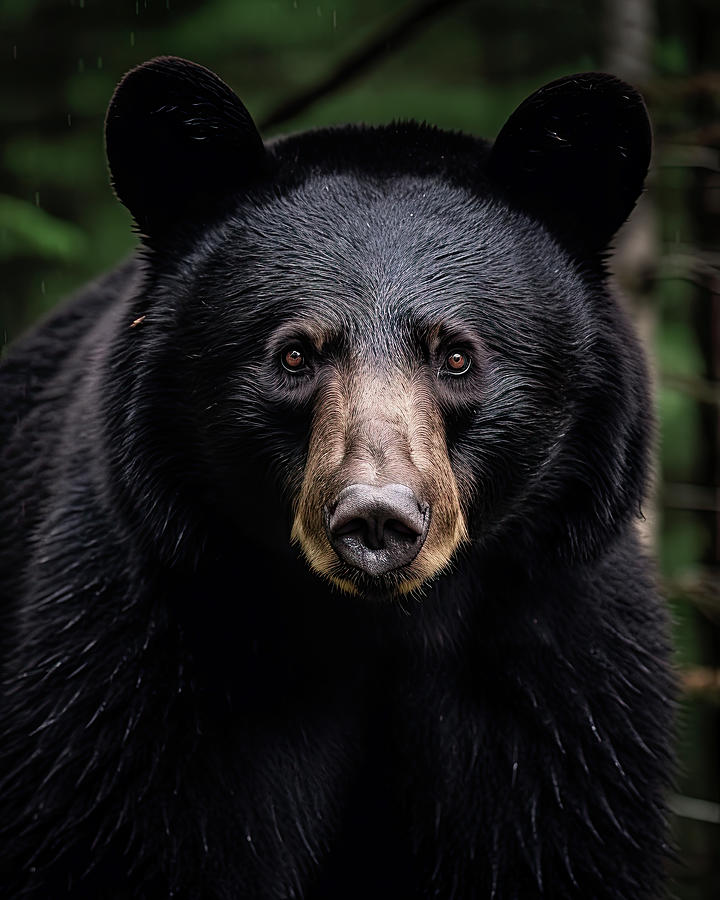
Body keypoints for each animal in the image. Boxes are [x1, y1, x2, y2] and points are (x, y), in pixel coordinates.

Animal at [0, 57, 675, 899]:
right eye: (295, 354)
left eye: (457, 356)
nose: (377, 520)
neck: (376, 632)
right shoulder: (141, 683)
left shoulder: (558, 690)